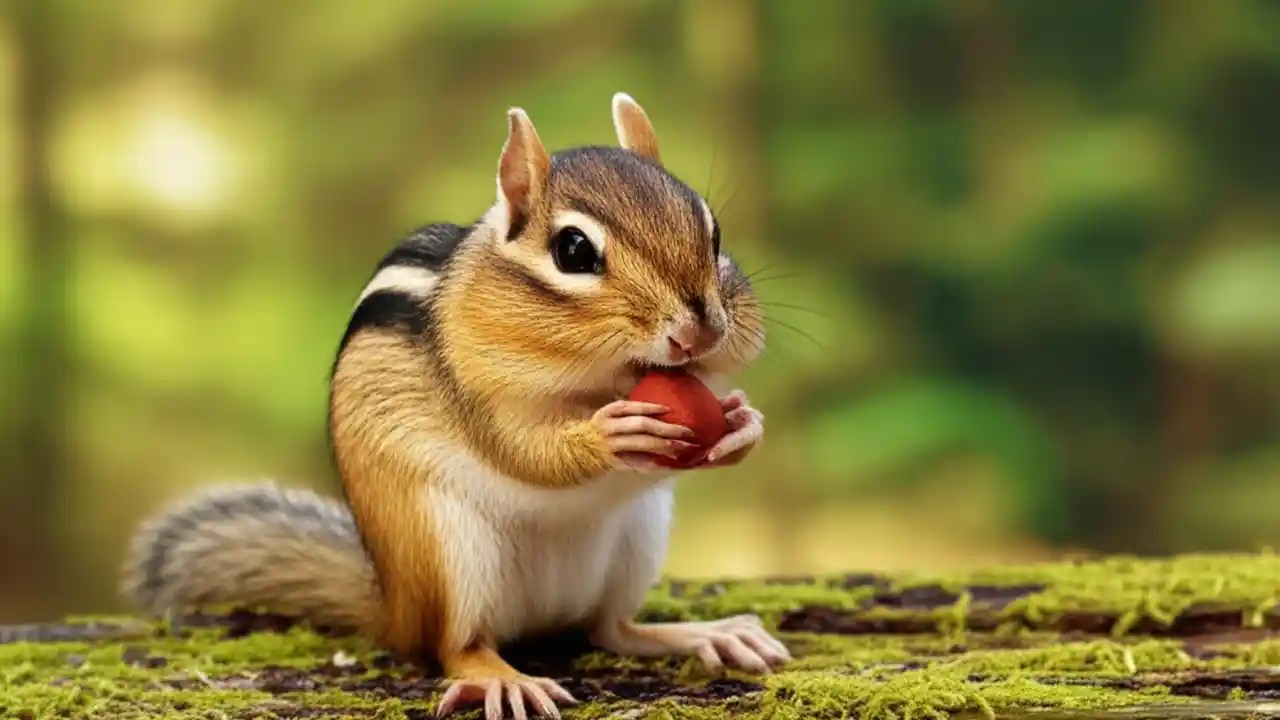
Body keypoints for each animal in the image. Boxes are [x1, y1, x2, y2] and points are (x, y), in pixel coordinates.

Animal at [121, 92, 787, 720]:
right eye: (573, 251)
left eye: (714, 232)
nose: (701, 331)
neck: (597, 380)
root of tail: (395, 605)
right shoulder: (473, 388)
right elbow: (521, 451)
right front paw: (608, 435)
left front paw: (743, 425)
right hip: (451, 551)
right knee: (456, 646)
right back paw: (502, 679)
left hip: (636, 540)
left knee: (611, 628)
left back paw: (709, 635)